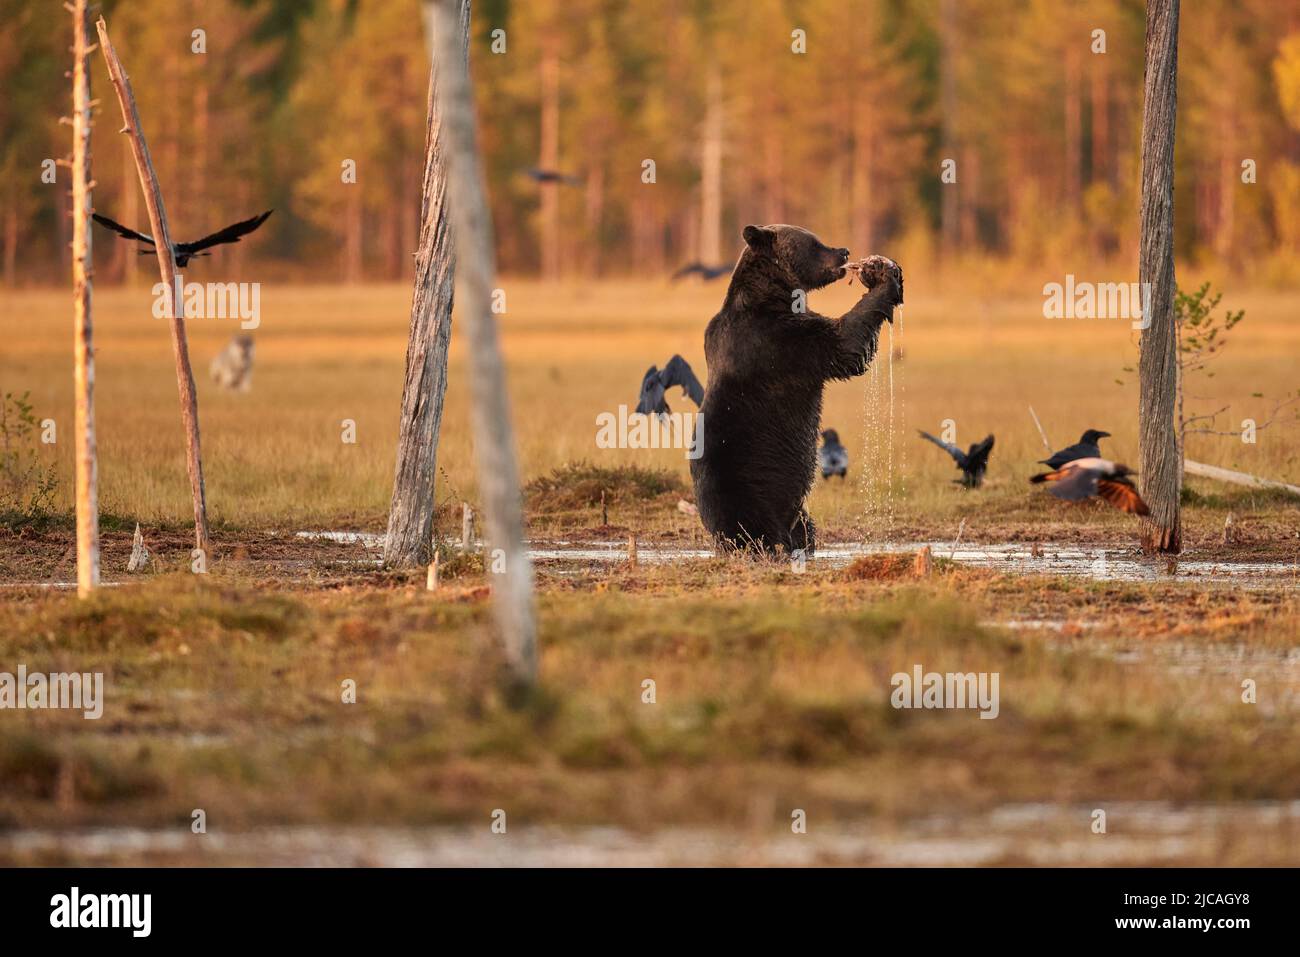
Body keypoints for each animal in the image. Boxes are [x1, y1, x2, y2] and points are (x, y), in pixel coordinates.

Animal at [689, 224, 903, 556]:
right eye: (814, 243)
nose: (844, 252)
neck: (772, 294)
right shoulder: (779, 340)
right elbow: (844, 346)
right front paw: (884, 281)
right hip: (743, 488)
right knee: (752, 527)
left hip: (795, 507)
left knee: (803, 526)